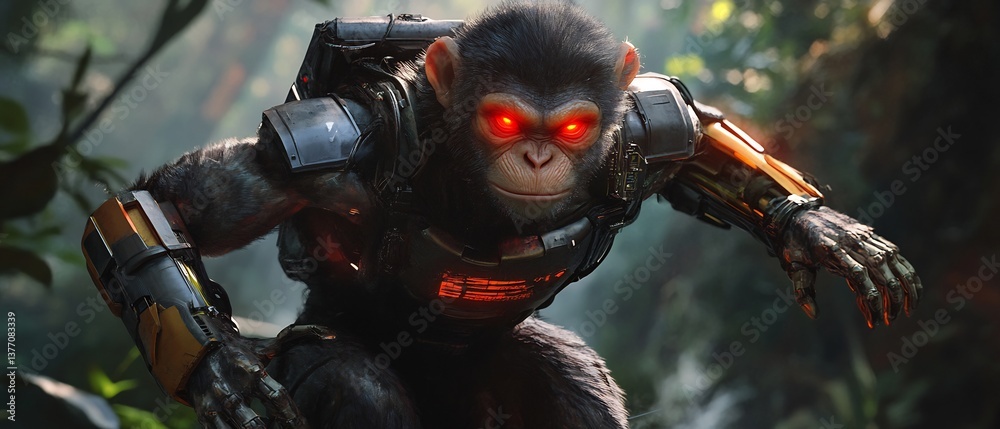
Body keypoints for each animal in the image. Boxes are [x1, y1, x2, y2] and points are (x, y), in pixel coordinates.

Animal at [81, 2, 922, 428]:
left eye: (573, 128)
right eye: (508, 122)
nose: (541, 158)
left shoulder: (644, 128)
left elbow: (695, 138)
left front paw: (820, 229)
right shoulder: (333, 144)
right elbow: (175, 207)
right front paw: (223, 370)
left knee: (574, 389)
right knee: (351, 382)